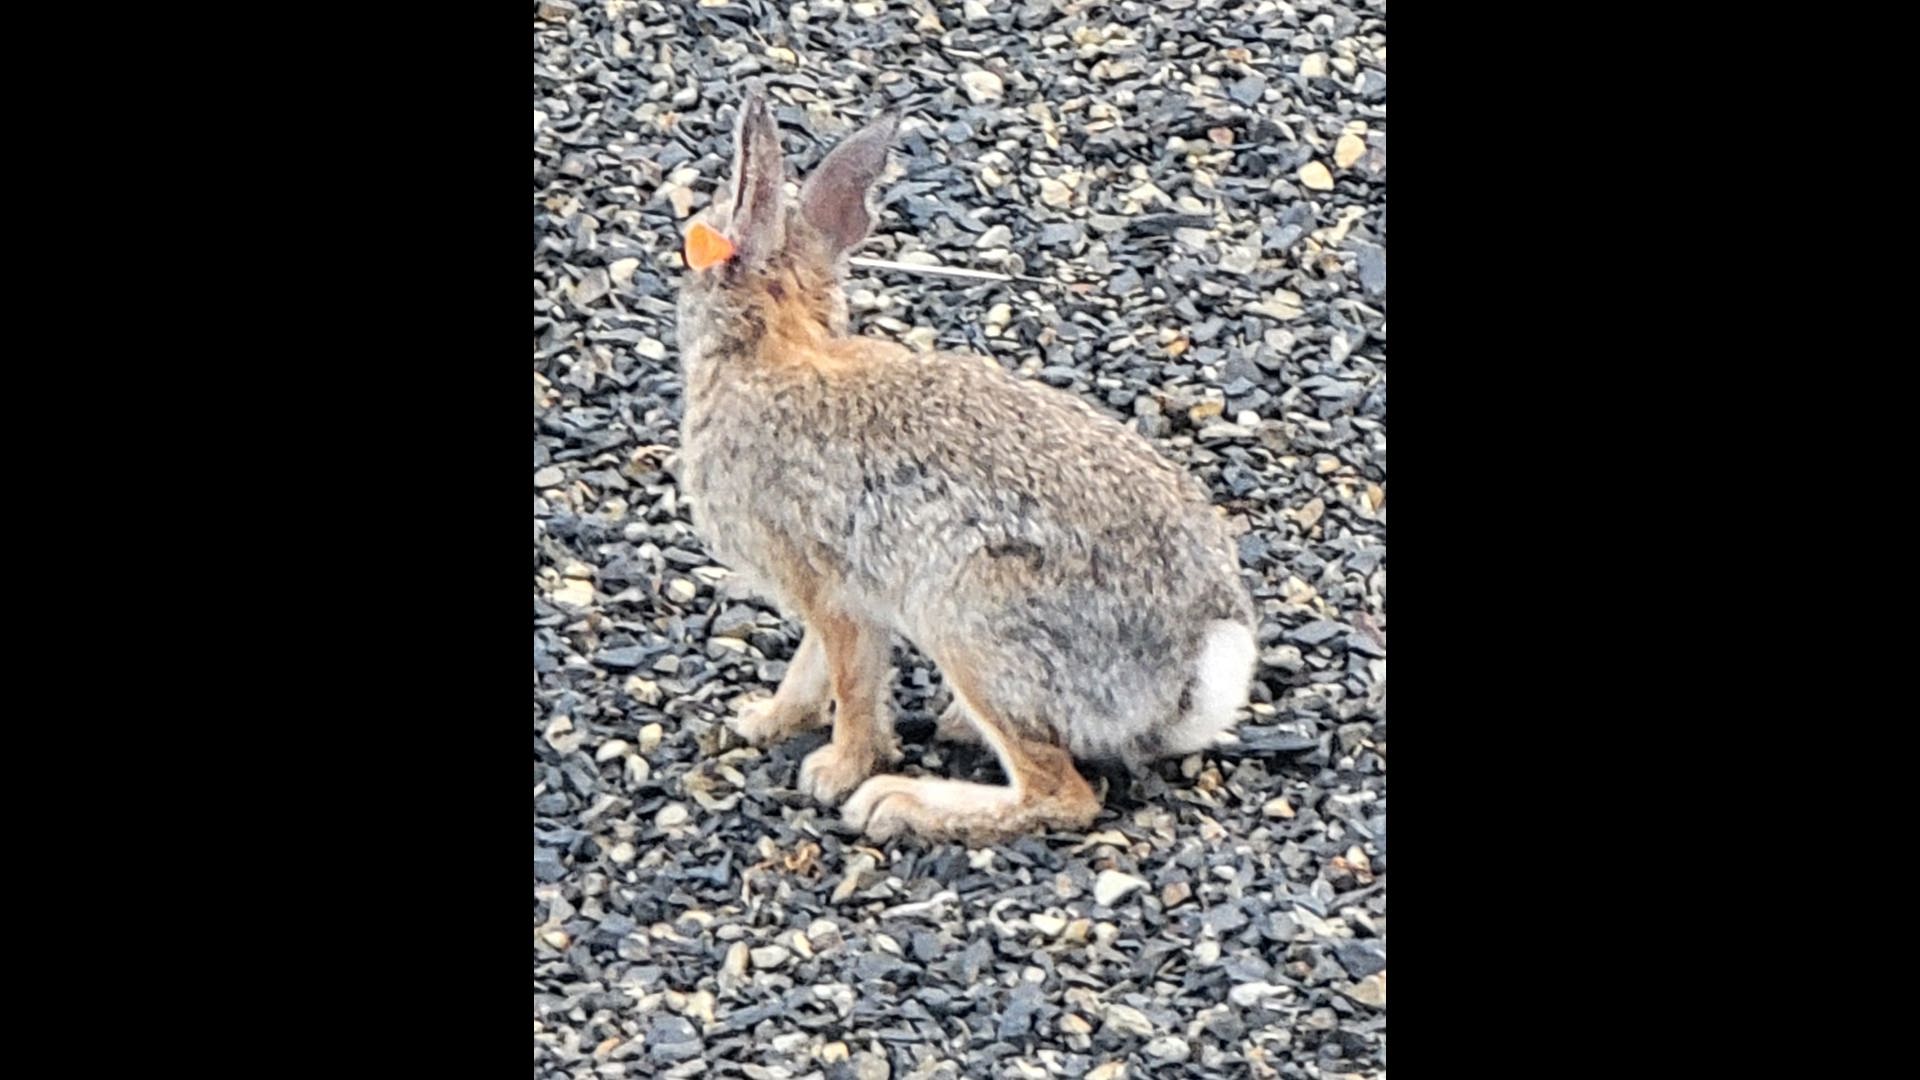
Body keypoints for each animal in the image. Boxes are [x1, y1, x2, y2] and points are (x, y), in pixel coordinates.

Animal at [674, 88, 1257, 844]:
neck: (772, 350)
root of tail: (1194, 667)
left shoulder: (830, 589)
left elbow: (850, 684)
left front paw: (836, 771)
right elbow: (813, 670)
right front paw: (766, 720)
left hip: (971, 622)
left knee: (1060, 794)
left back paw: (899, 803)